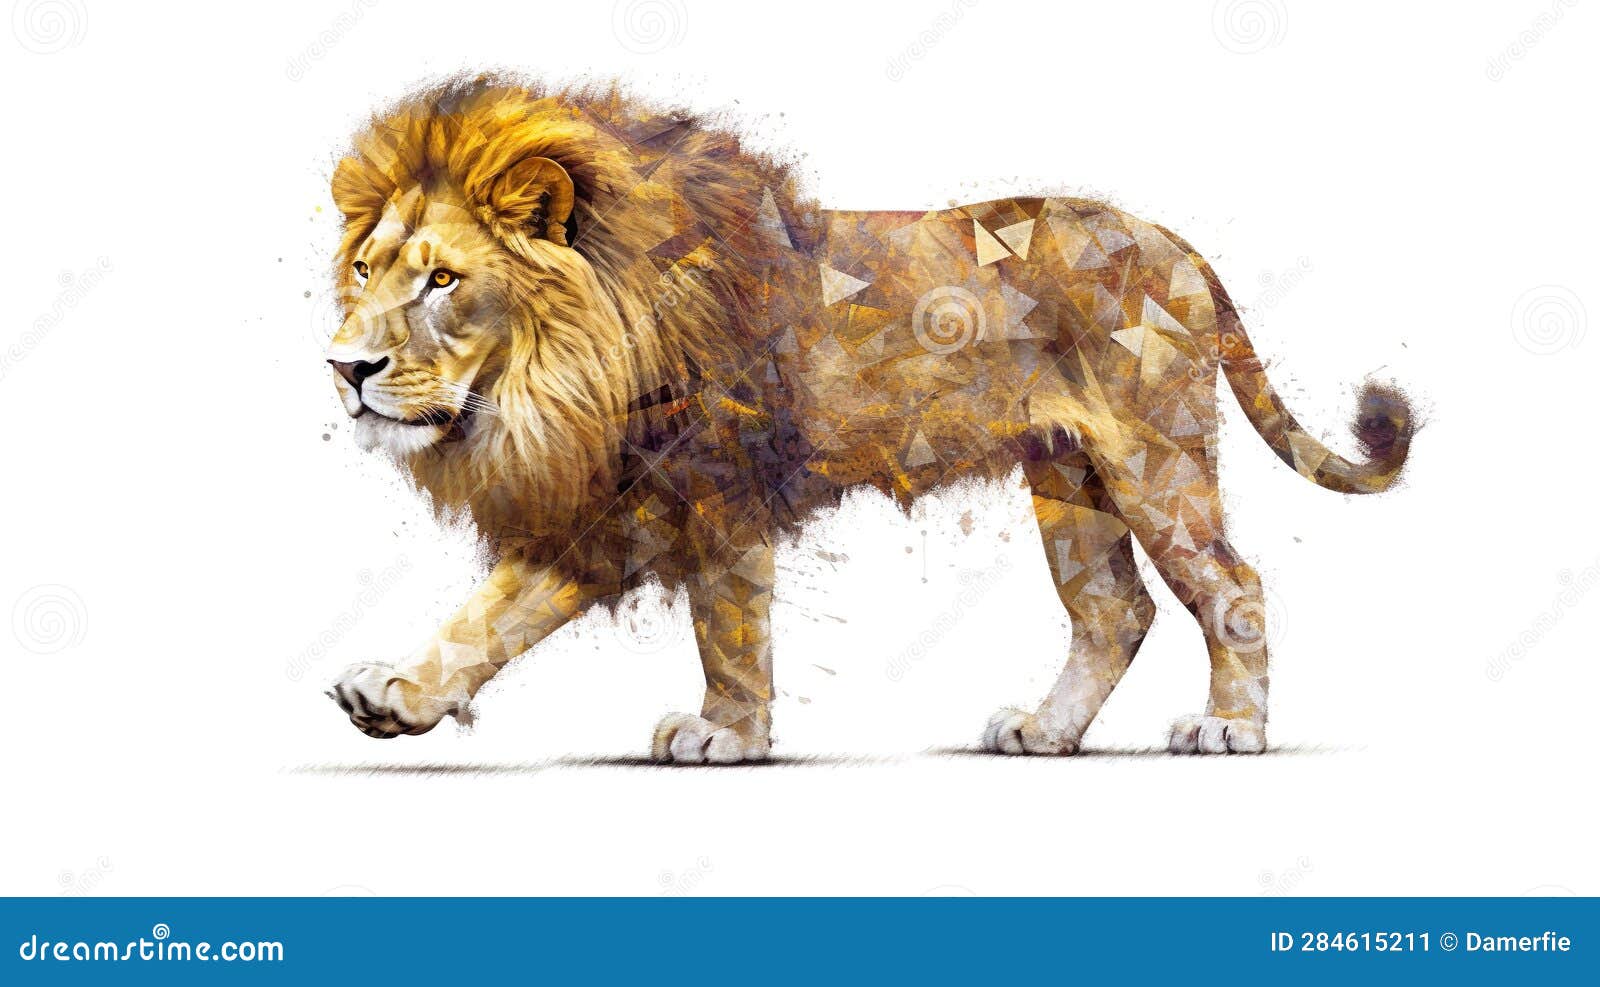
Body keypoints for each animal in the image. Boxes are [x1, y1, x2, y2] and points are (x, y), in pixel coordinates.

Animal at [323, 76, 1412, 761]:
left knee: (1231, 585)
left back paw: (1232, 729)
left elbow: (728, 626)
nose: (345, 367)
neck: (567, 375)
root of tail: (1172, 240)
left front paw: (726, 736)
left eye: (443, 281)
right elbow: (492, 613)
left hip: (1154, 459)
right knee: (1114, 611)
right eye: (366, 272)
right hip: (1069, 477)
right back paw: (1045, 732)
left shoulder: (718, 486)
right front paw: (399, 696)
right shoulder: (615, 500)